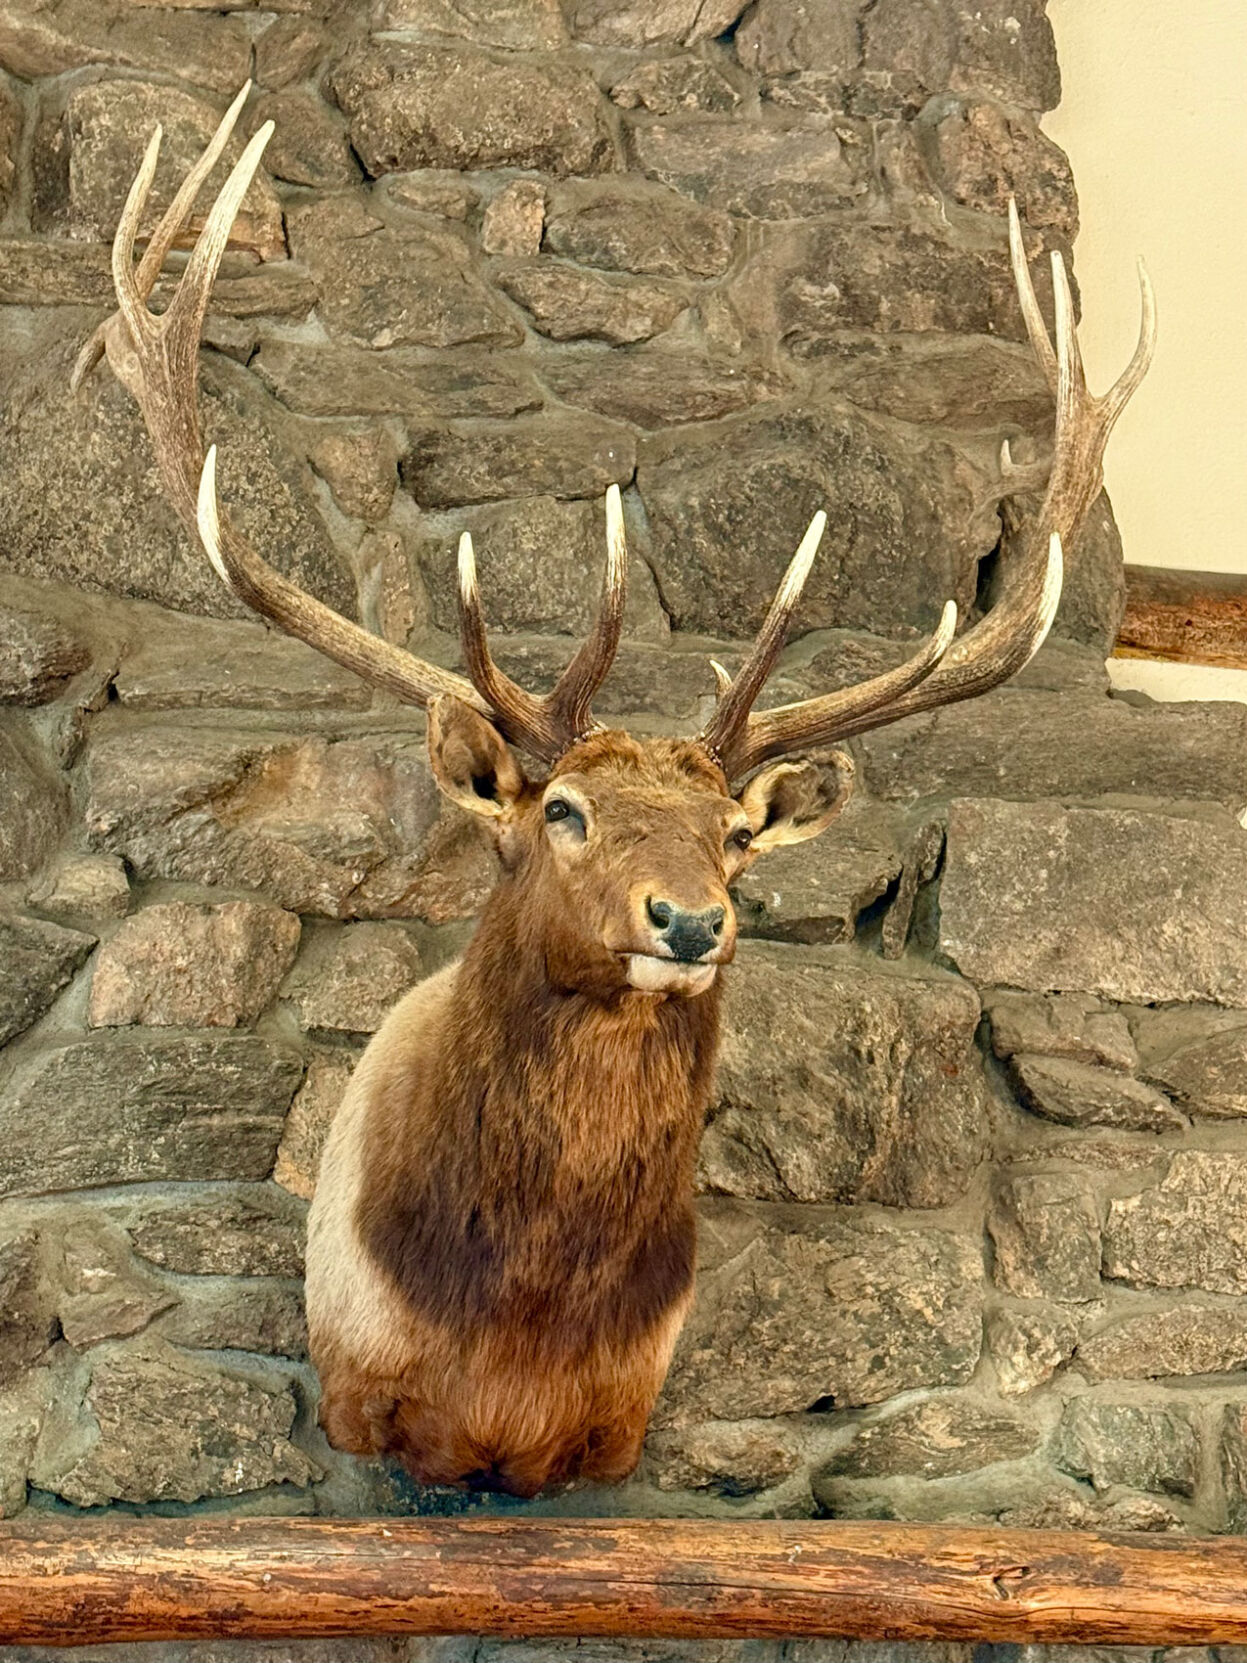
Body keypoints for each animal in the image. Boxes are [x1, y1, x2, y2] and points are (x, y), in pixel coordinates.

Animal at [75, 87, 1154, 1496]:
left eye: (736, 835)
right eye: (561, 811)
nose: (688, 920)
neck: (513, 1340)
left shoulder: (614, 1433)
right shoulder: (368, 1401)